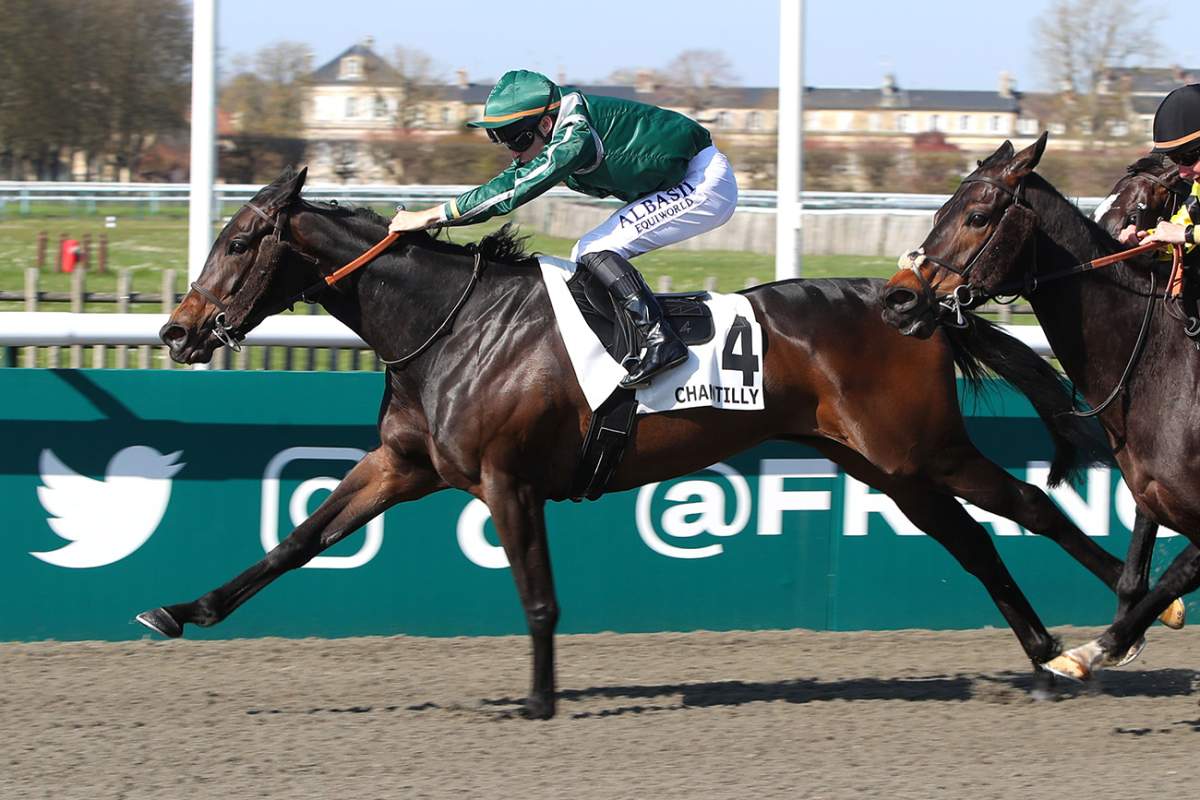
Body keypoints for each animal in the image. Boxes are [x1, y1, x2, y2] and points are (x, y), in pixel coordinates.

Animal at [137, 167, 1175, 717]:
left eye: (239, 242)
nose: (177, 331)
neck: (449, 324)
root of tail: (918, 304)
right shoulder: (405, 464)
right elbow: (298, 540)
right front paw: (181, 609)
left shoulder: (509, 482)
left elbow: (539, 598)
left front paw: (540, 702)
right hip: (885, 465)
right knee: (971, 541)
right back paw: (1048, 650)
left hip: (921, 450)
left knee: (1031, 506)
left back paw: (1137, 615)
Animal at [881, 133, 1200, 680]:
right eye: (941, 210)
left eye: (978, 216)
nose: (899, 298)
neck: (1163, 359)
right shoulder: (1153, 489)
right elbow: (1136, 577)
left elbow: (1174, 574)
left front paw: (1092, 650)